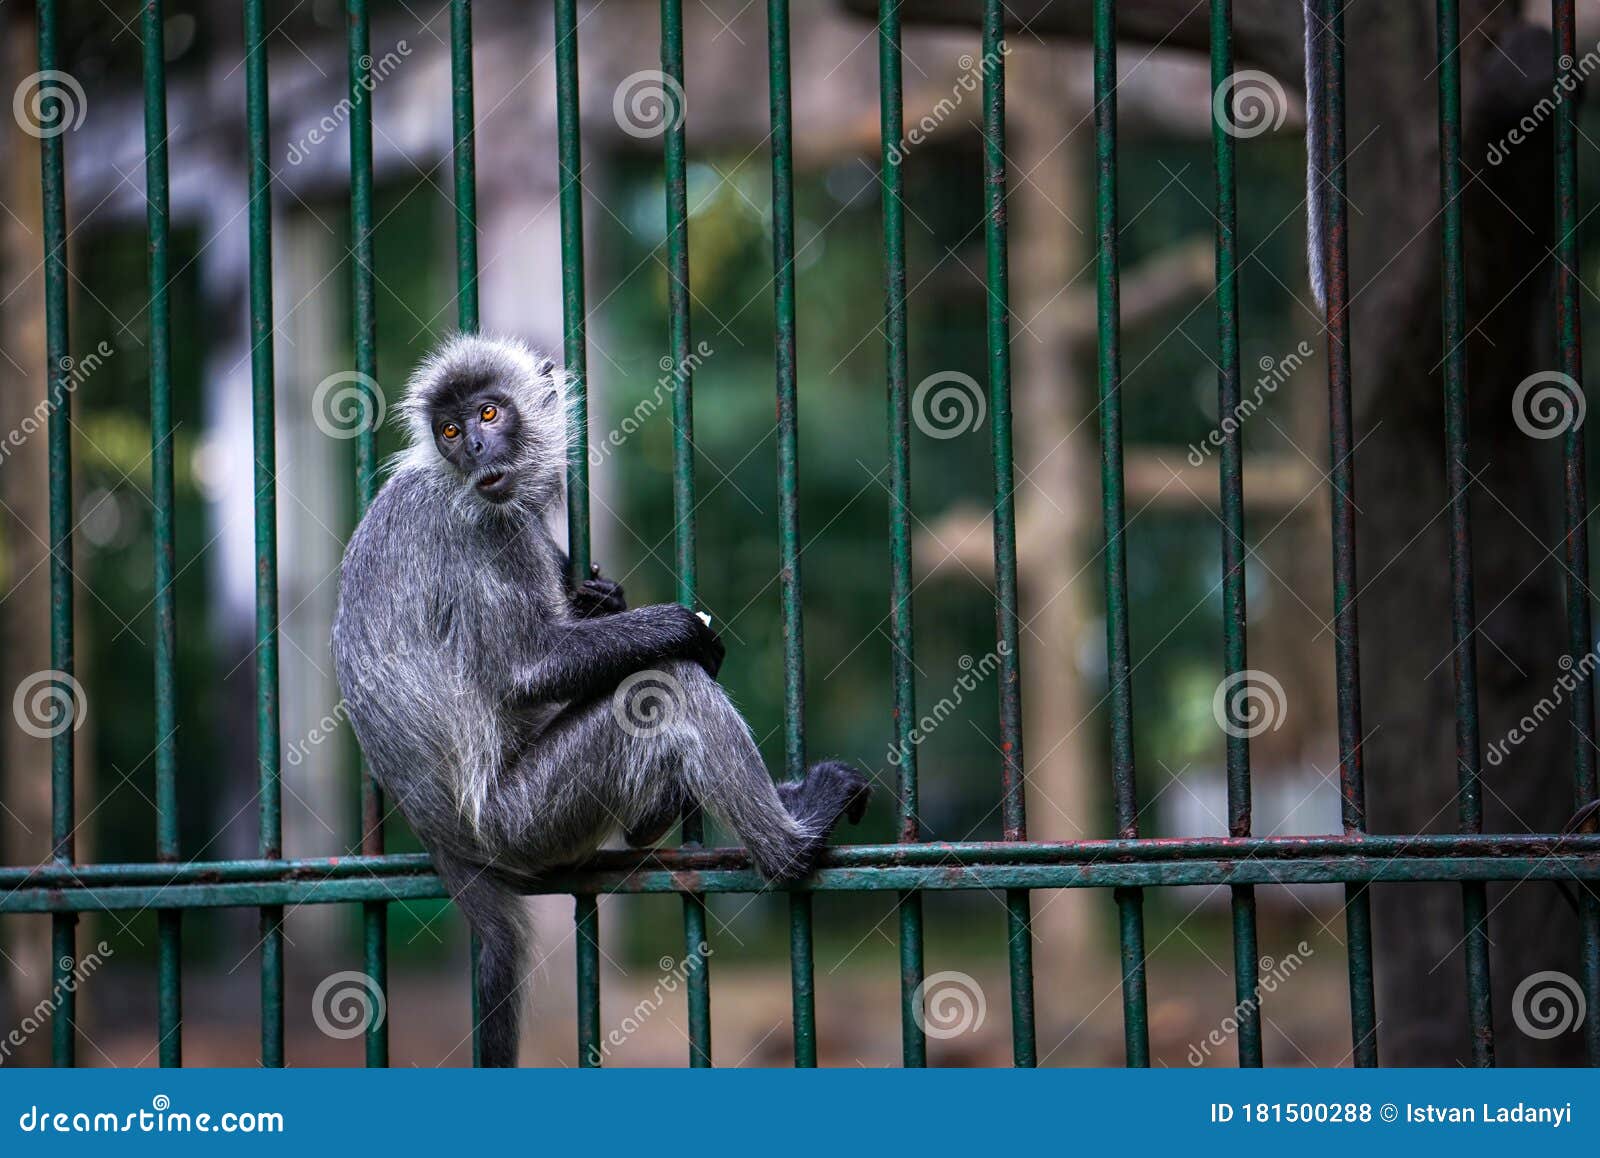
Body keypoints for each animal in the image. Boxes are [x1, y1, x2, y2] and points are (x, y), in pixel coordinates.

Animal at [331, 334, 871, 1066]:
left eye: (488, 414)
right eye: (449, 430)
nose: (474, 447)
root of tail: (448, 840)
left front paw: (600, 597)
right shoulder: (480, 528)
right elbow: (528, 671)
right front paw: (678, 628)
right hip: (530, 820)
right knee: (667, 689)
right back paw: (791, 841)